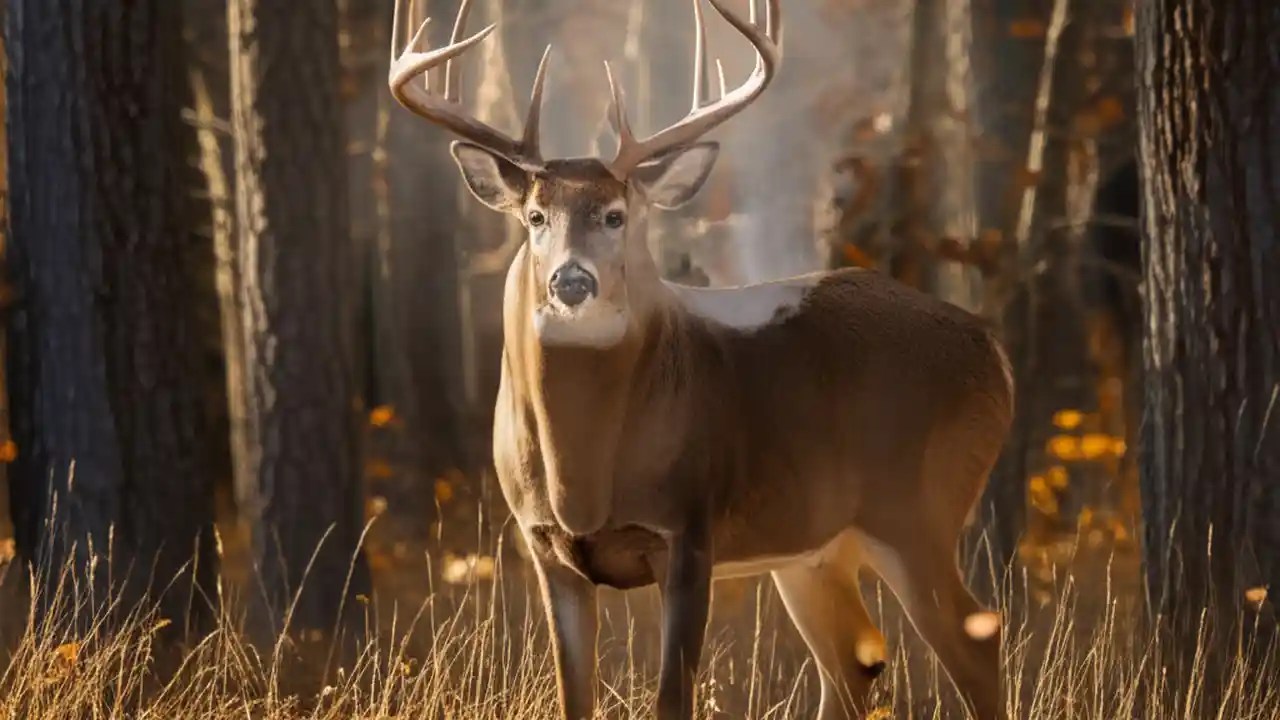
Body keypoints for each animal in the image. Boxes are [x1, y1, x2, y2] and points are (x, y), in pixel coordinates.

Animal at [389, 0, 1013, 718]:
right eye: (536, 215)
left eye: (617, 214)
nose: (571, 281)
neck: (585, 476)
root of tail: (993, 352)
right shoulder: (544, 544)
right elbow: (576, 698)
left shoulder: (688, 530)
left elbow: (672, 697)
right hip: (814, 546)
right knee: (855, 664)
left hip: (919, 505)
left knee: (975, 640)